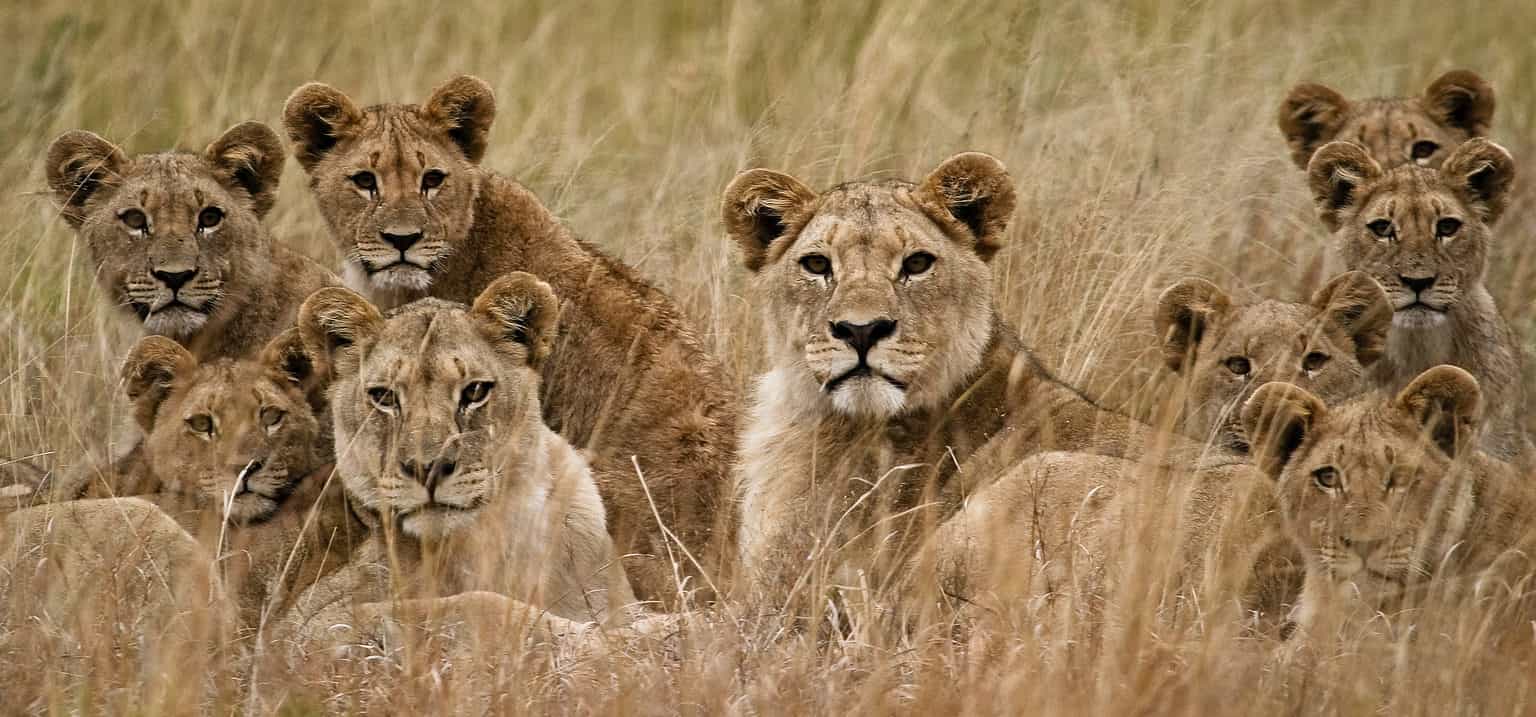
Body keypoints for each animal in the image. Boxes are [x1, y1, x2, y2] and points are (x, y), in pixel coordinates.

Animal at [282, 274, 636, 650]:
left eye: (475, 391)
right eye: (385, 397)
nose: (427, 468)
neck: (493, 536)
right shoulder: (300, 627)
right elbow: (475, 606)